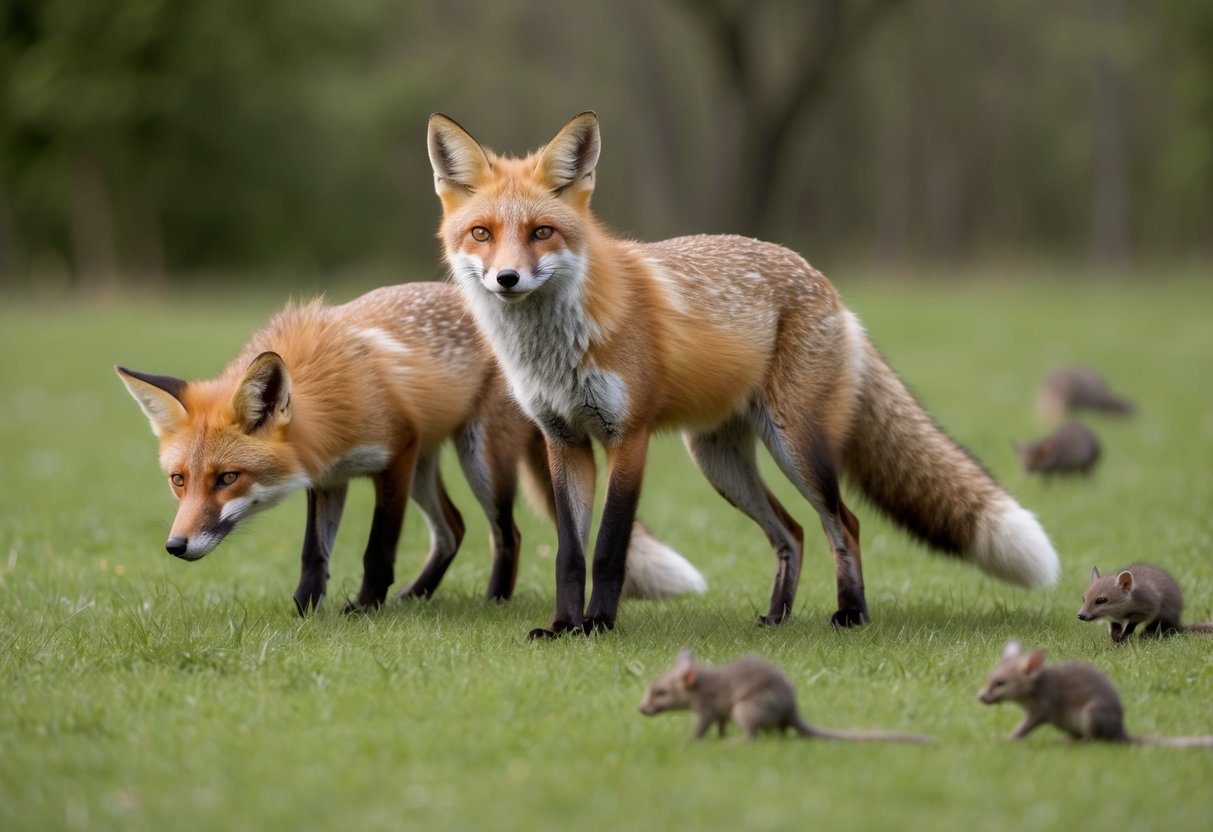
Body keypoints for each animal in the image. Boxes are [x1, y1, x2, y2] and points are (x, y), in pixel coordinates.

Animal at [116, 282, 705, 614]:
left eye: (226, 478)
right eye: (179, 481)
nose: (175, 546)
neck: (333, 386)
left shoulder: (393, 456)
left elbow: (377, 548)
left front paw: (364, 607)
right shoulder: (328, 477)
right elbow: (314, 553)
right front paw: (305, 609)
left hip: (477, 458)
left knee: (505, 533)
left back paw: (493, 601)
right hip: (430, 465)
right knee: (454, 529)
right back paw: (419, 596)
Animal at [426, 111, 1060, 639]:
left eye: (541, 232)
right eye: (482, 233)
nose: (507, 279)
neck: (555, 346)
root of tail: (827, 285)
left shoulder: (628, 438)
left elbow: (608, 549)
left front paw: (599, 626)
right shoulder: (564, 440)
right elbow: (569, 553)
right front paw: (563, 626)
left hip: (797, 446)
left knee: (845, 523)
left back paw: (851, 613)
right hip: (720, 462)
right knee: (792, 532)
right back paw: (777, 617)